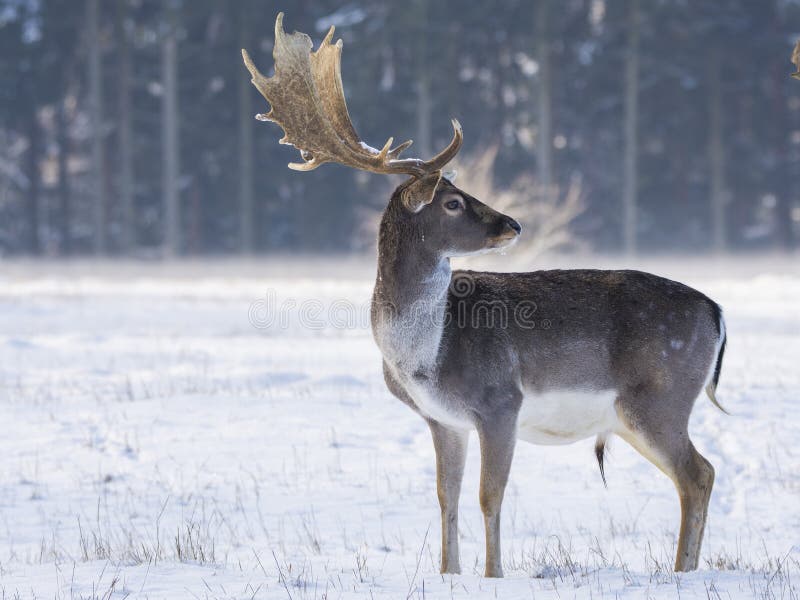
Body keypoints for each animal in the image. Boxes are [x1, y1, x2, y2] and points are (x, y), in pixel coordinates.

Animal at [242, 13, 727, 577]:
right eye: (451, 201)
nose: (513, 224)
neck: (428, 353)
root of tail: (717, 312)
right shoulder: (443, 419)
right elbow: (446, 496)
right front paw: (448, 572)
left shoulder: (500, 400)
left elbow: (488, 496)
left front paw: (494, 575)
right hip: (636, 413)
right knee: (699, 474)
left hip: (658, 396)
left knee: (698, 474)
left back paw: (682, 572)